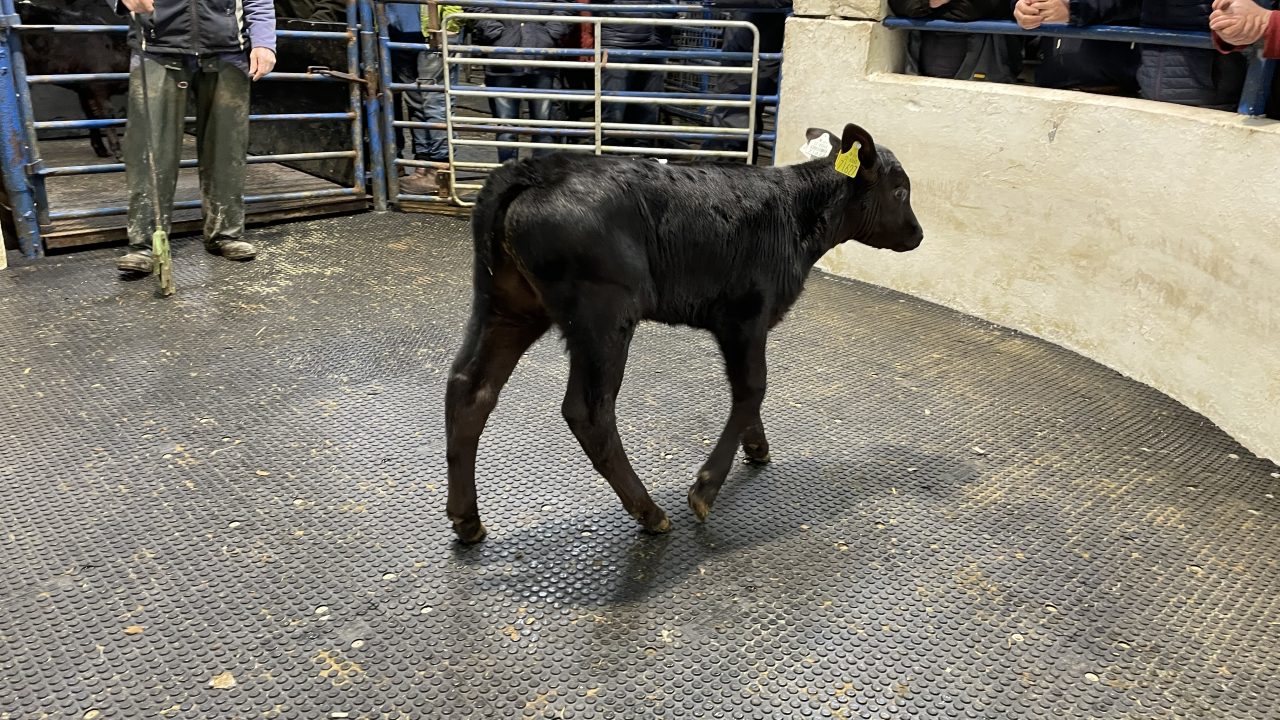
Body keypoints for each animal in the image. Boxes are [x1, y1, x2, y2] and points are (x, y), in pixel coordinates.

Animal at [444, 122, 923, 543]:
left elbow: (747, 391)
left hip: (508, 305)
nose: (917, 234)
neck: (795, 214)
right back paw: (649, 512)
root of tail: (540, 168)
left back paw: (467, 520)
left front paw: (757, 446)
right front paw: (706, 488)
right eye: (901, 190)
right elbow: (753, 388)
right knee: (588, 410)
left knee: (470, 387)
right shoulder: (745, 314)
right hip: (602, 313)